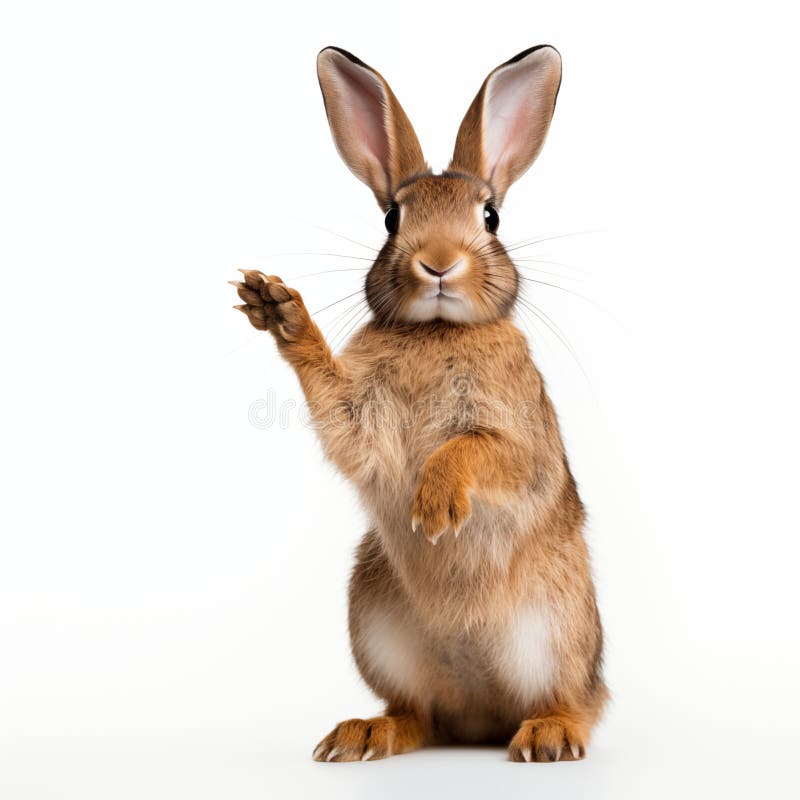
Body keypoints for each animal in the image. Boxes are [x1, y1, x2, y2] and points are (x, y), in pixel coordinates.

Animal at [232, 44, 608, 763]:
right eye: (391, 219)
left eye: (490, 217)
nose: (438, 262)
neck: (436, 332)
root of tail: (482, 713)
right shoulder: (361, 418)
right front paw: (278, 309)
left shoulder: (522, 440)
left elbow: (479, 450)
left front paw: (435, 506)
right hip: (377, 622)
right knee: (419, 714)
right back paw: (364, 734)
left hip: (558, 626)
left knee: (574, 700)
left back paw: (549, 735)